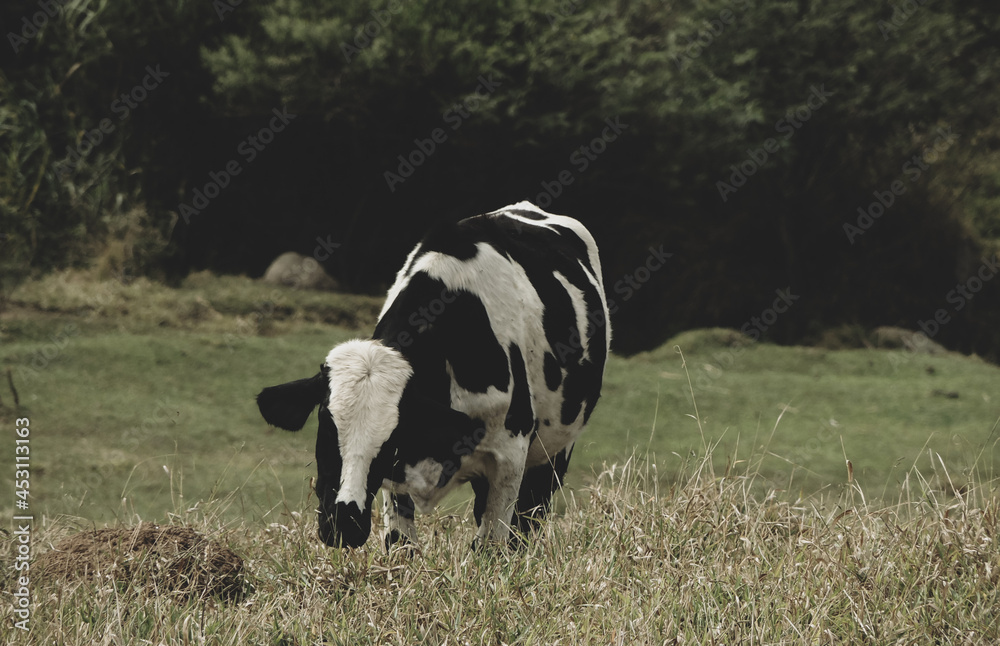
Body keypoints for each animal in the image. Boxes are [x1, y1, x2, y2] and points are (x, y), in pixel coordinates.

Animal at [256, 201, 610, 549]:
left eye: (391, 440)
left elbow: (493, 544)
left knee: (529, 519)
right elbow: (402, 544)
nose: (344, 523)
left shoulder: (509, 457)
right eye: (326, 426)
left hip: (555, 451)